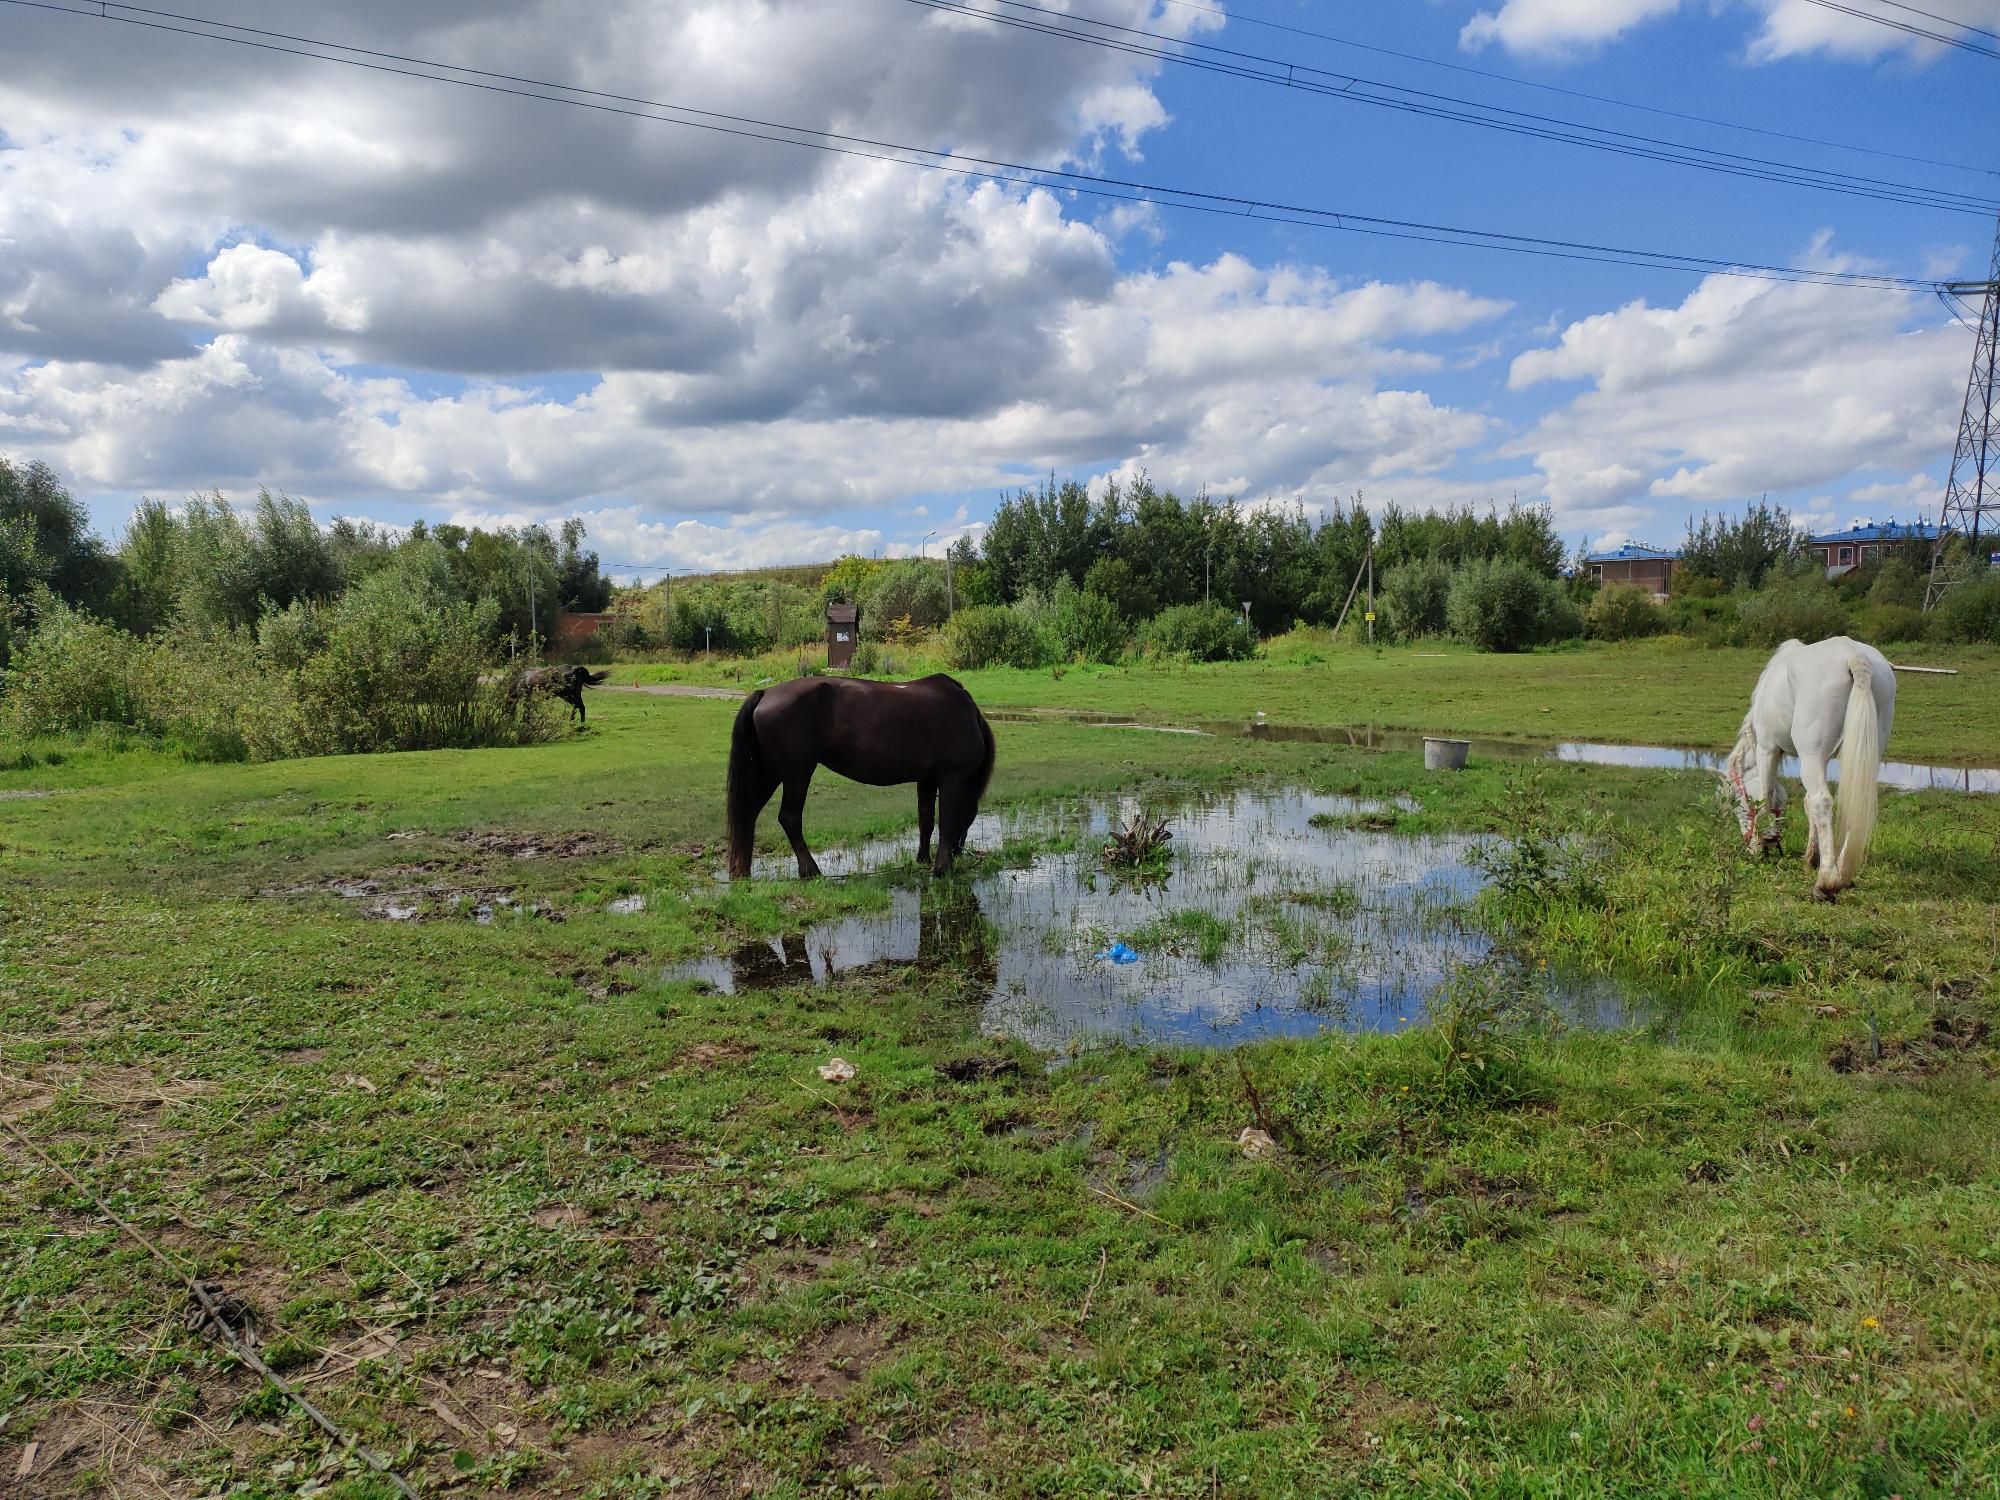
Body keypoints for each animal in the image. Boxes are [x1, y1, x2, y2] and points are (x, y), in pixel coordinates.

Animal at [726, 674, 995, 879]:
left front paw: (923, 859)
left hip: (770, 772)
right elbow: (946, 821)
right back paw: (810, 869)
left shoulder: (927, 779)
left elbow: (926, 819)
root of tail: (766, 693)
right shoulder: (952, 778)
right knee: (789, 818)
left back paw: (742, 871)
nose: (958, 851)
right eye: (971, 816)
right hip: (797, 774)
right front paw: (942, 868)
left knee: (748, 814)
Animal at [1721, 636, 1894, 900]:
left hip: (1811, 754)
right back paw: (1843, 872)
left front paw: (1767, 839)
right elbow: (1805, 803)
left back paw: (1826, 881)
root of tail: (1853, 655)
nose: (1749, 844)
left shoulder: (1768, 749)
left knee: (1821, 801)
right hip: (1865, 752)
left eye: (1733, 801)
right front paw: (1811, 855)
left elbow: (1766, 798)